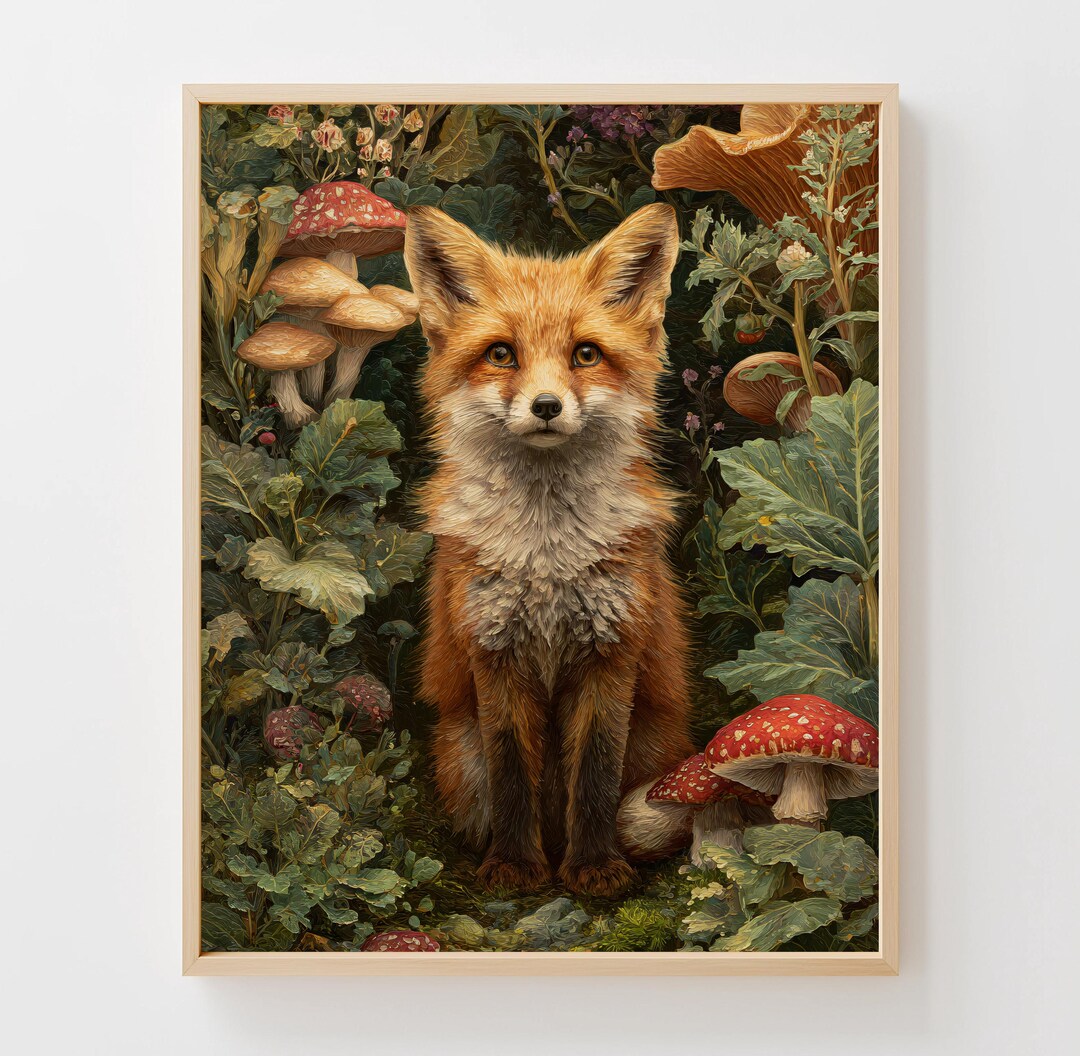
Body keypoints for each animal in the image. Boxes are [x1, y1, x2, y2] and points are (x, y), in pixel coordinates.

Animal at [404, 203, 694, 897]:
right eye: (501, 354)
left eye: (585, 354)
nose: (545, 406)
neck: (546, 557)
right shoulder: (494, 651)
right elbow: (514, 776)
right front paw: (514, 866)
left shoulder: (612, 650)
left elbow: (594, 777)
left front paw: (592, 869)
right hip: (461, 756)